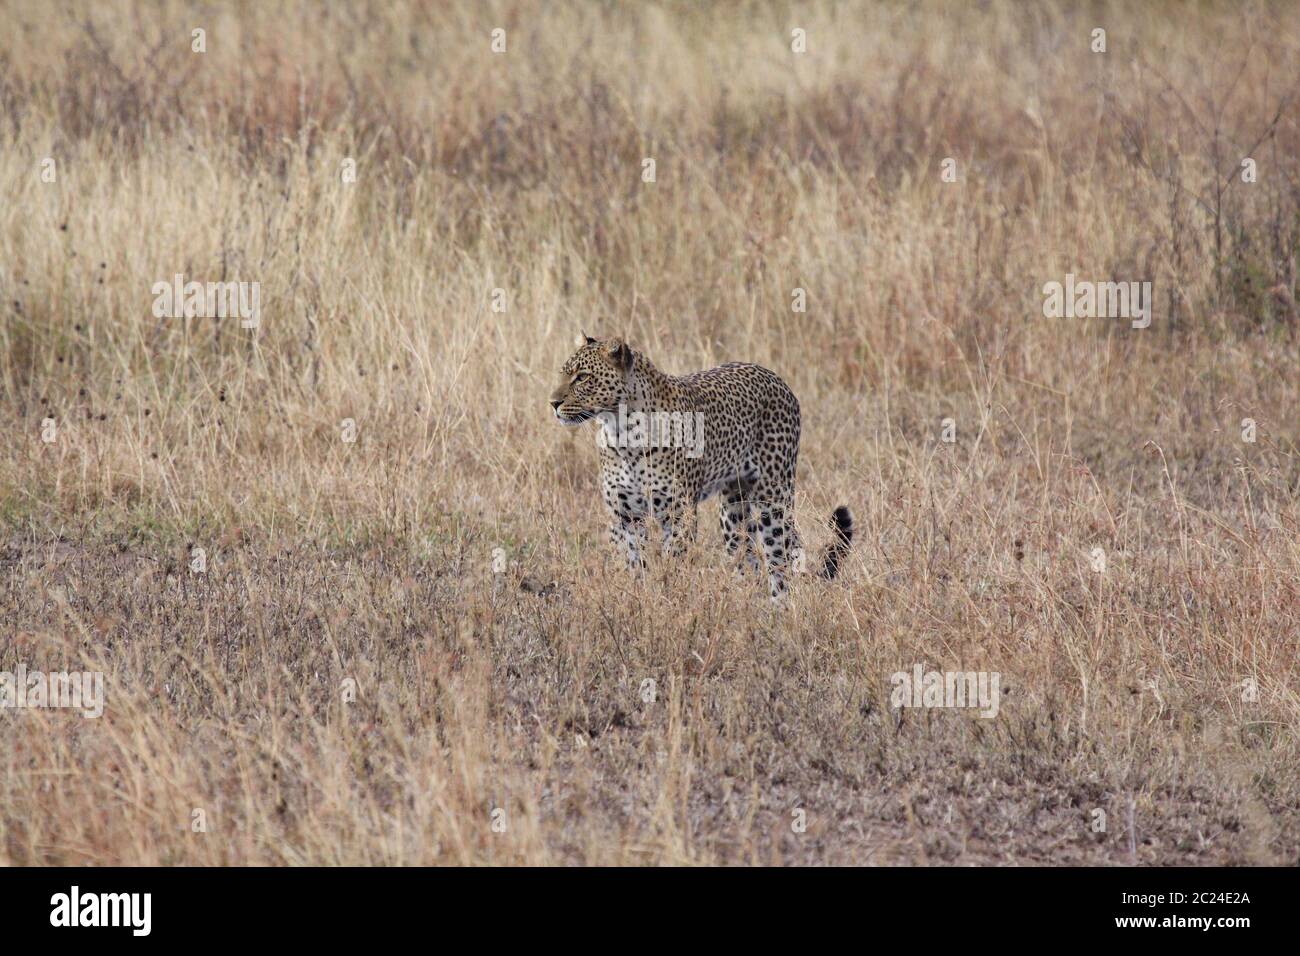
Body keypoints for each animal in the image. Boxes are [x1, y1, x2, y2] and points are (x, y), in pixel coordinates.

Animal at [549, 335, 853, 601]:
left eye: (583, 377)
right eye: (563, 374)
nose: (553, 403)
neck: (621, 433)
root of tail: (775, 377)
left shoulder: (678, 513)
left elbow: (672, 565)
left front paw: (667, 601)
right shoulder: (623, 516)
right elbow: (634, 565)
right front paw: (638, 598)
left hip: (773, 499)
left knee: (781, 558)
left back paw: (779, 610)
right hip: (733, 511)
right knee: (748, 559)